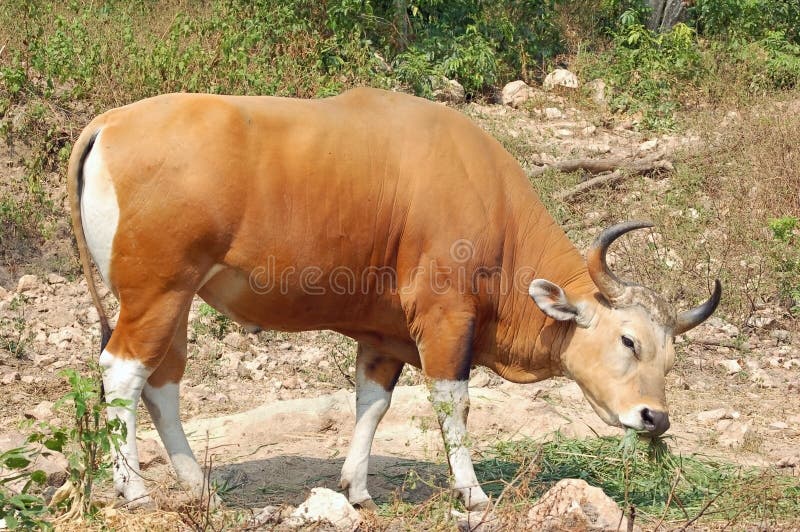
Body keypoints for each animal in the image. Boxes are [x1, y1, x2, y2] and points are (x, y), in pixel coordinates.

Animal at [67, 87, 720, 510]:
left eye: (671, 358)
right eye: (628, 340)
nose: (655, 418)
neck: (495, 210)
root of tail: (111, 122)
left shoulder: (383, 337)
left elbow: (371, 405)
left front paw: (356, 488)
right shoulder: (446, 318)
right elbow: (453, 404)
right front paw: (471, 492)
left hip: (176, 298)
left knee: (161, 383)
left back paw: (197, 485)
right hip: (157, 292)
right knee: (122, 372)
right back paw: (133, 489)